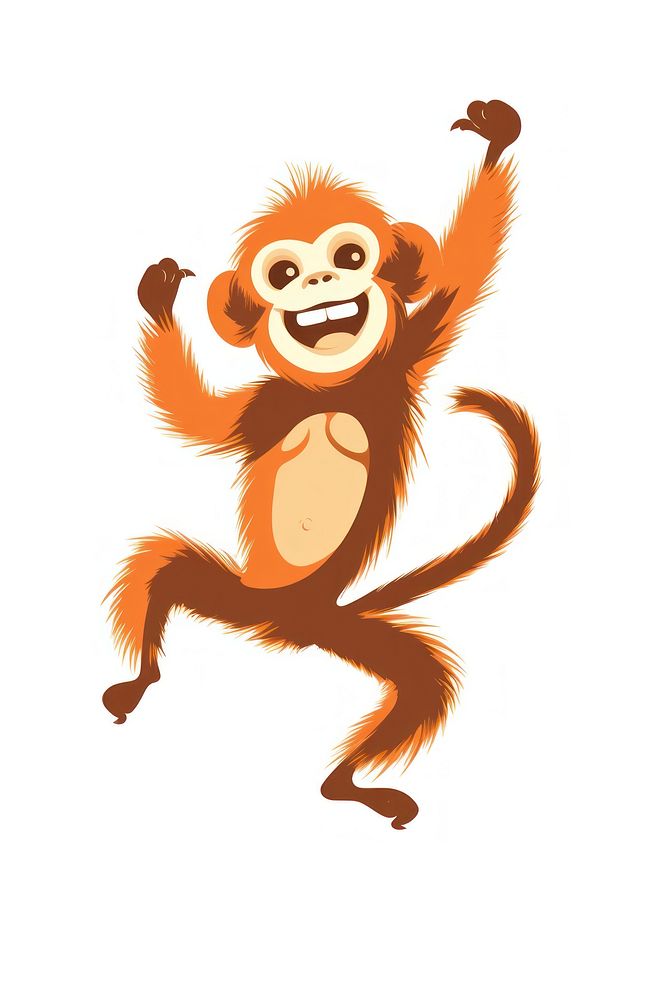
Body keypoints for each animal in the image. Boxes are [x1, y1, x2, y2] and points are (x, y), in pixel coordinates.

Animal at [103, 99, 539, 829]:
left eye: (350, 256)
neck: (333, 391)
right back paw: (141, 680)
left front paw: (495, 143)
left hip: (329, 624)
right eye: (283, 274)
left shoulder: (401, 357)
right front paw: (161, 301)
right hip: (240, 596)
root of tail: (281, 627)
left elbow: (460, 277)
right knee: (164, 572)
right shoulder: (265, 402)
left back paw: (345, 787)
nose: (319, 280)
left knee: (419, 683)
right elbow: (195, 416)